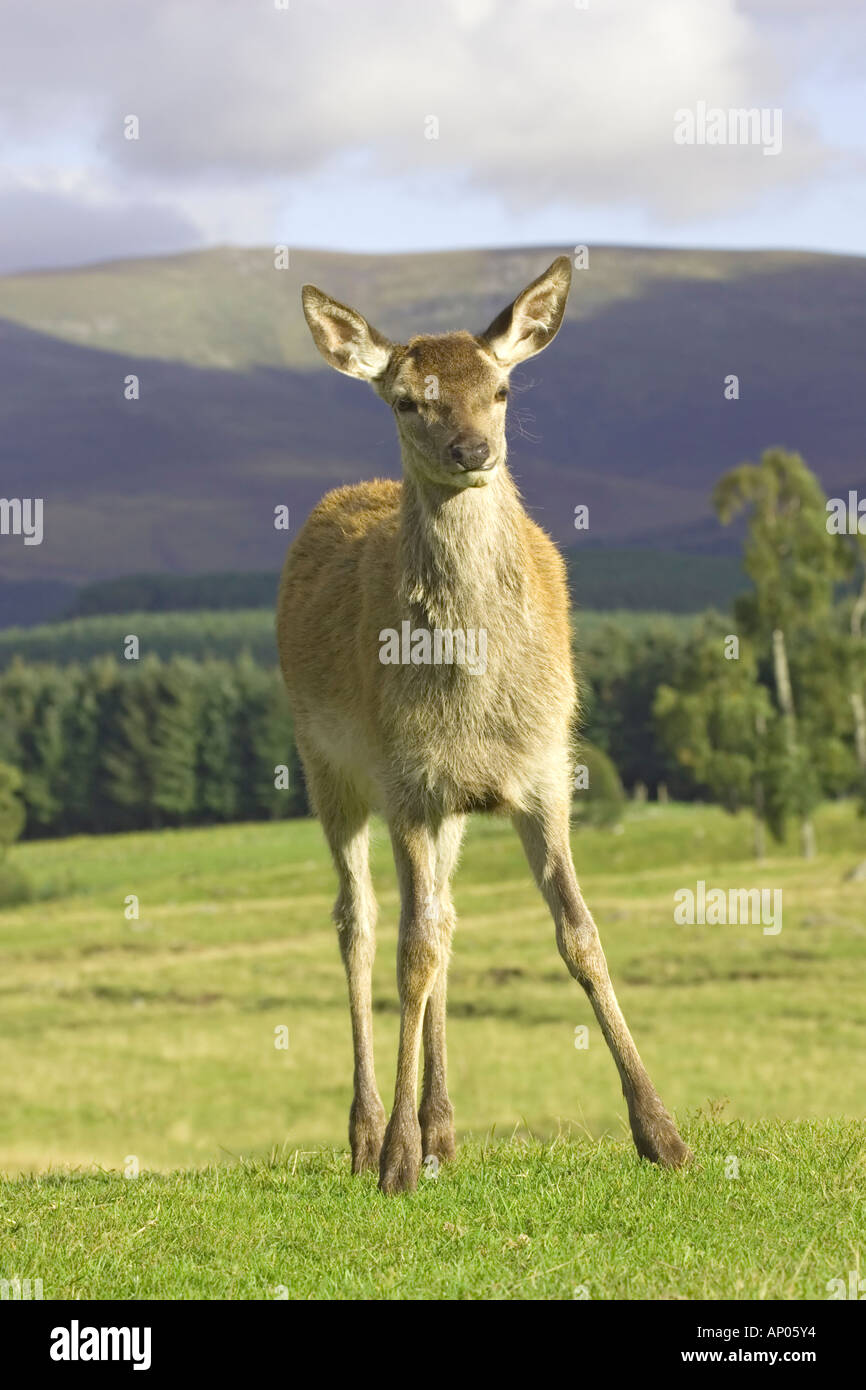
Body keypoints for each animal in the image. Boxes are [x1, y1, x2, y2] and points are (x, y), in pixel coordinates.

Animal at [276, 256, 691, 1193]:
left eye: (500, 390)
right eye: (406, 400)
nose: (474, 453)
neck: (476, 695)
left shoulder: (542, 775)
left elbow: (580, 935)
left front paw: (661, 1132)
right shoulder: (405, 783)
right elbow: (411, 952)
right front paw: (395, 1160)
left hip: (450, 808)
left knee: (445, 918)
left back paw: (443, 1128)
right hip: (328, 769)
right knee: (363, 925)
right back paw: (370, 1133)